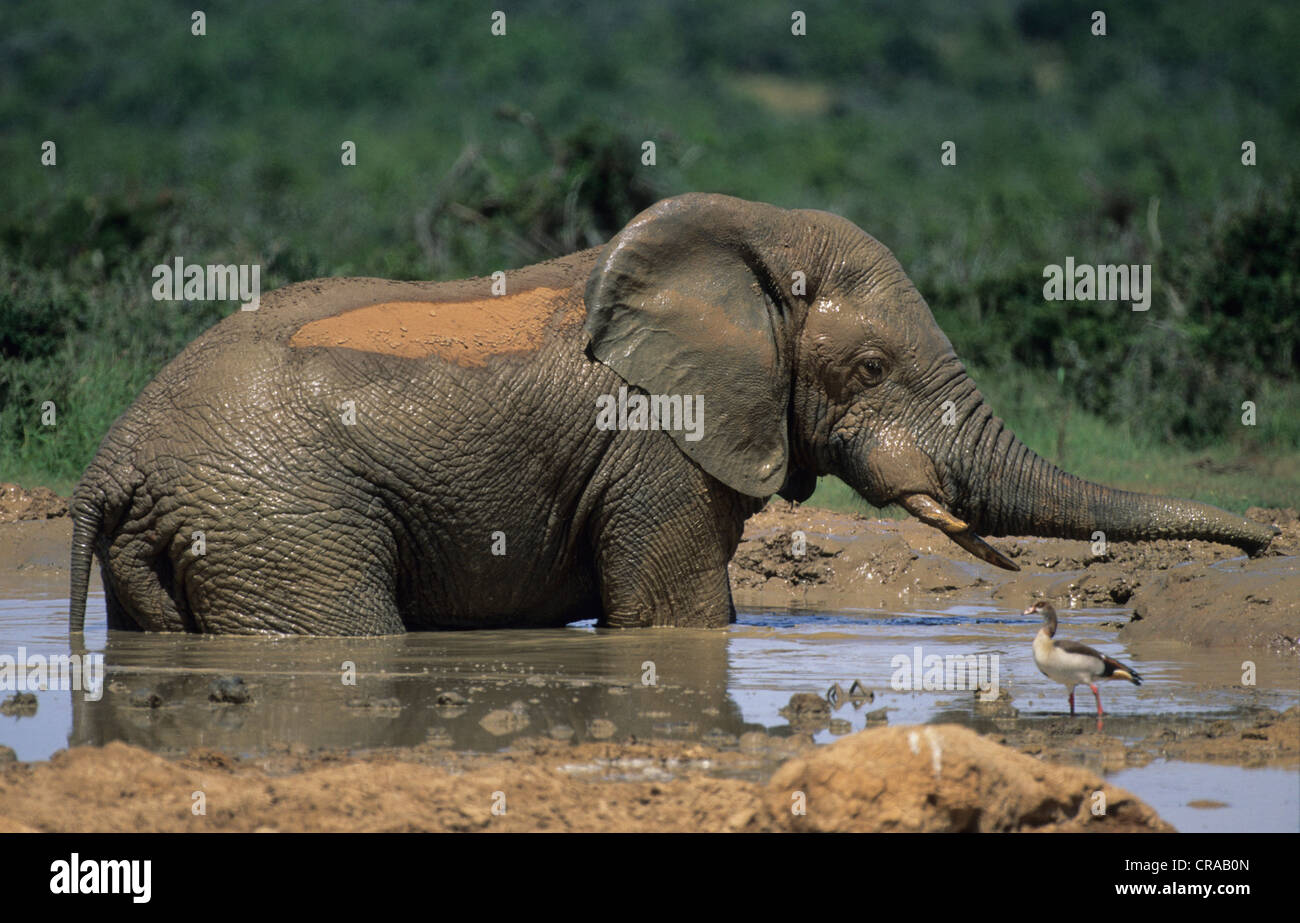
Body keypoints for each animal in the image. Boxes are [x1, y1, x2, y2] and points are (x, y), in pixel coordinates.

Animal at [69, 193, 1275, 635]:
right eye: (871, 365)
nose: (1267, 538)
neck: (753, 235)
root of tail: (111, 462)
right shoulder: (658, 445)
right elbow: (677, 619)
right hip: (283, 516)